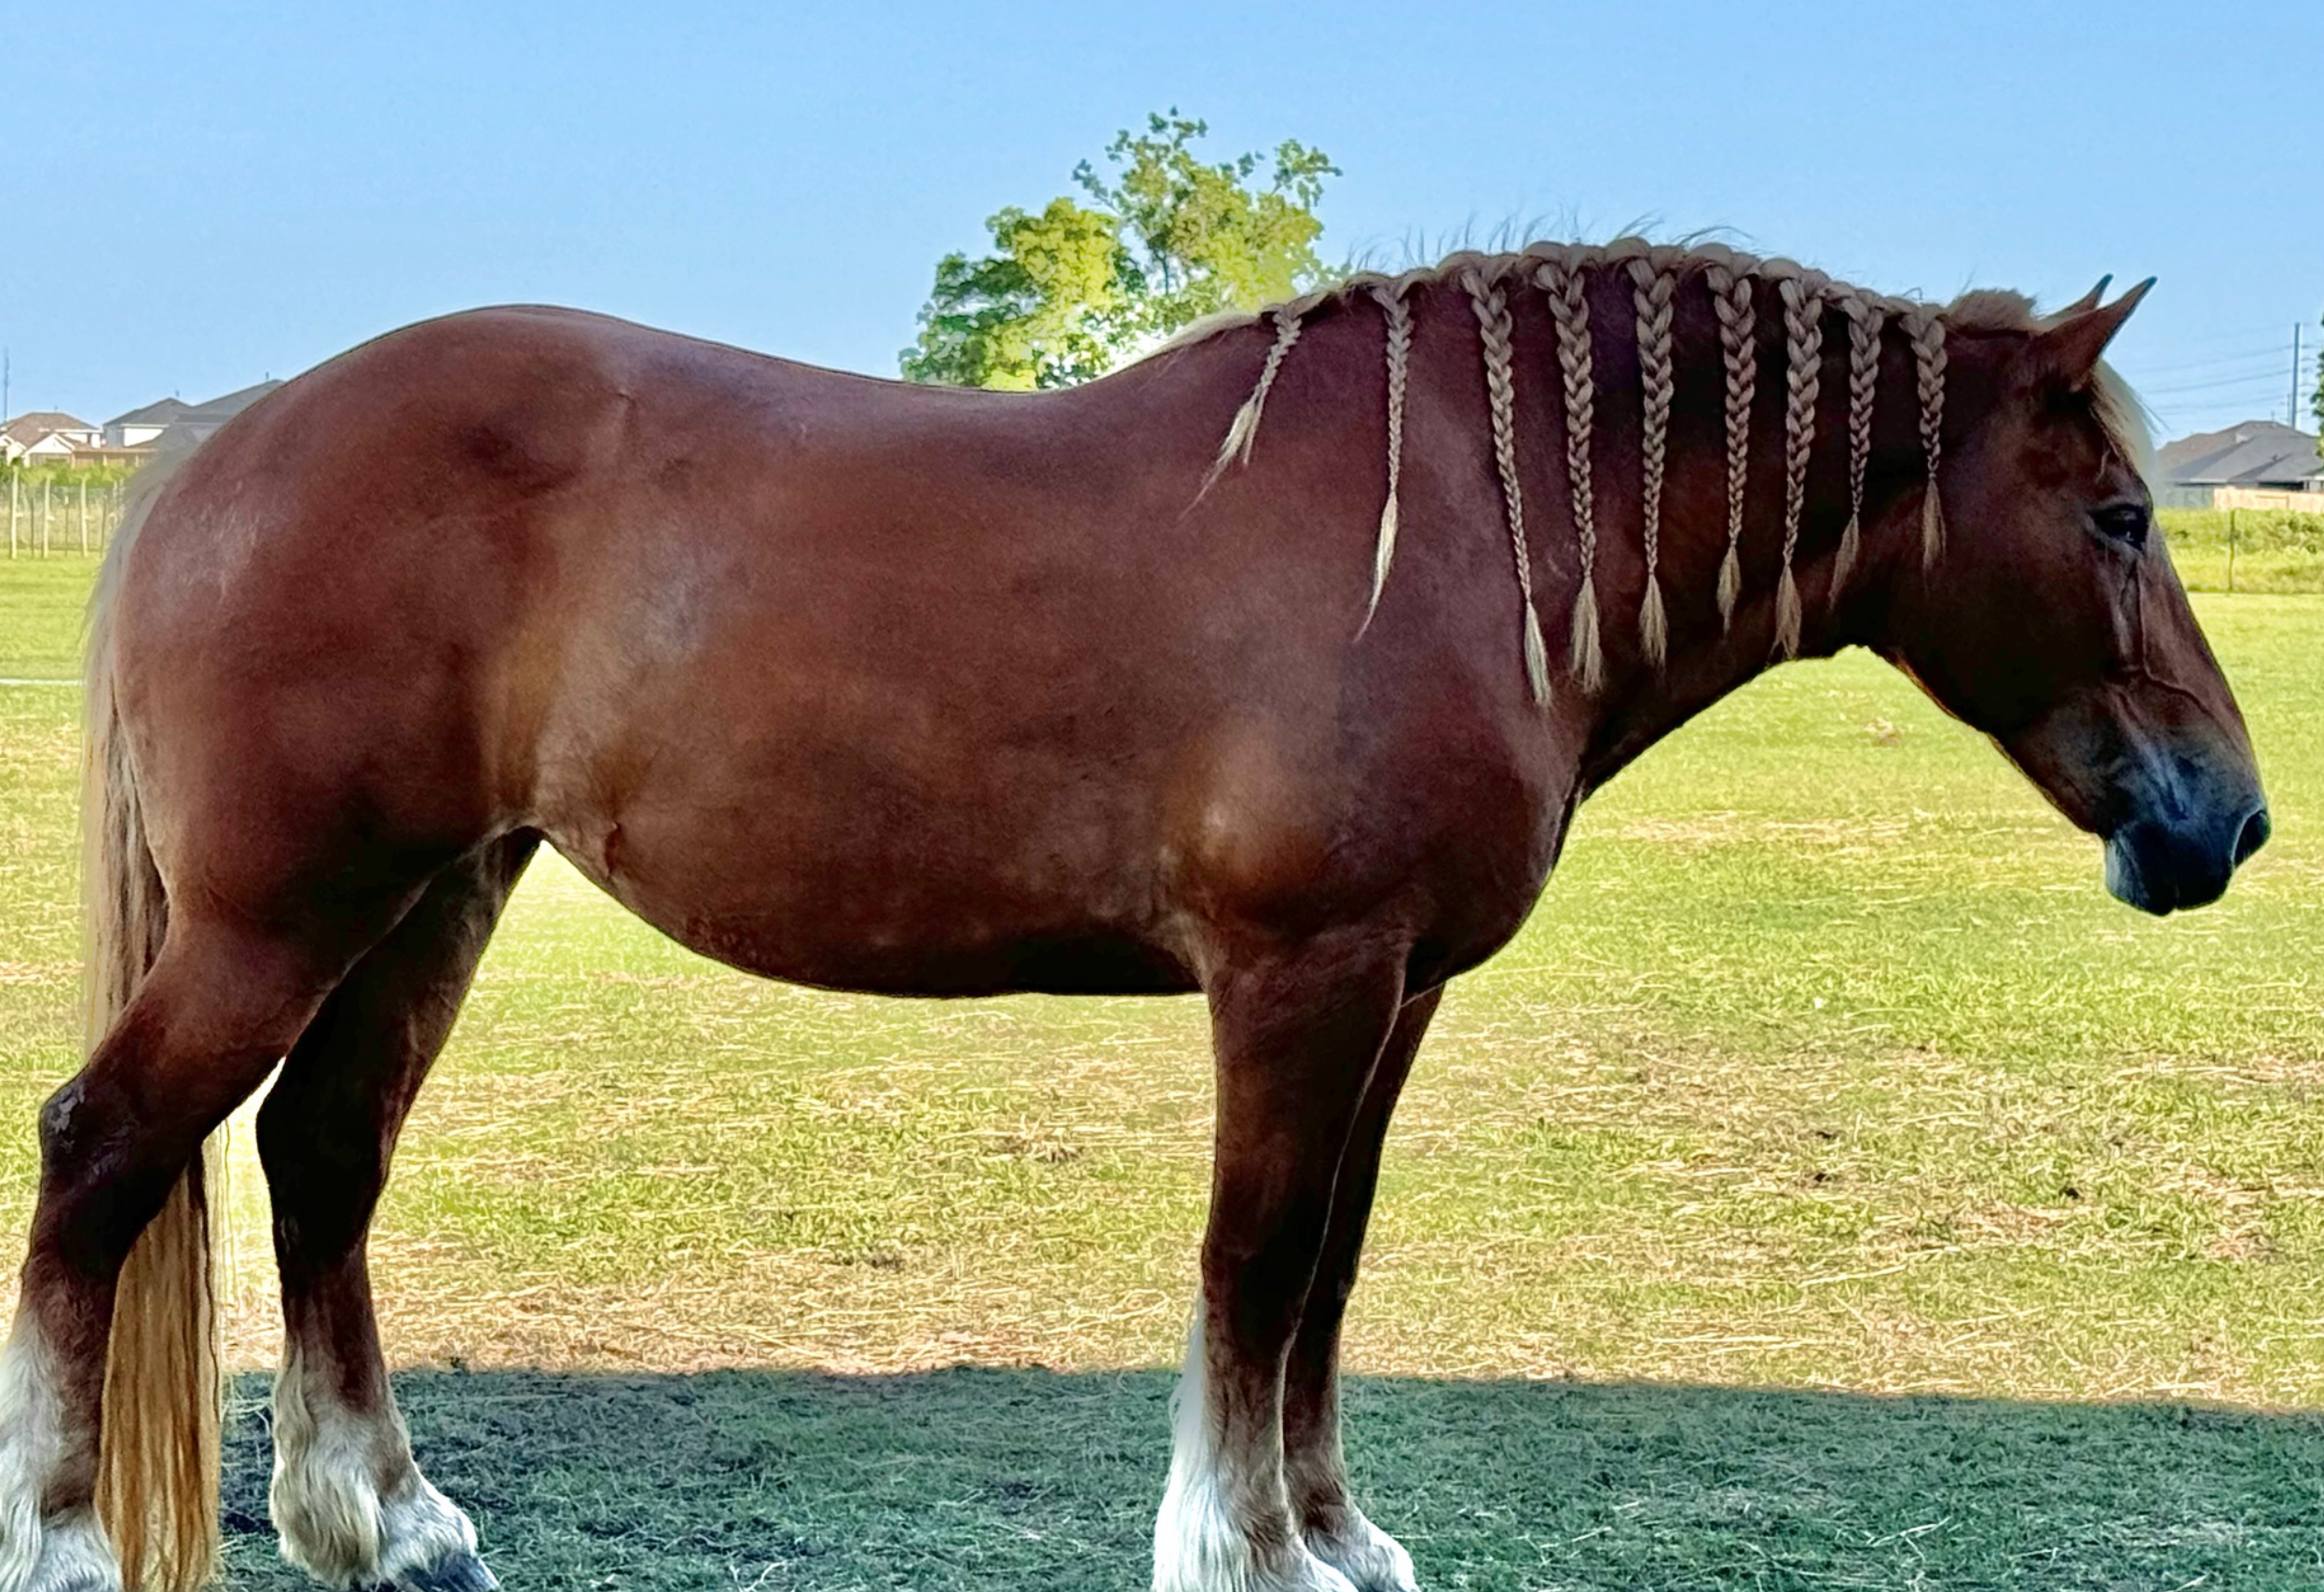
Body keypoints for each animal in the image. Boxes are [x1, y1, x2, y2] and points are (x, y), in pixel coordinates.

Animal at [0, 236, 2267, 1592]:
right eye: (2111, 516)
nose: (2225, 820)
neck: (1452, 525)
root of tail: (235, 437)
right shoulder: (1299, 975)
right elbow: (1253, 1260)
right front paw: (1245, 1547)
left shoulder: (1392, 991)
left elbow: (1328, 1264)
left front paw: (1336, 1538)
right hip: (284, 917)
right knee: (103, 1153)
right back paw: (69, 1535)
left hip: (430, 895)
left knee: (321, 1158)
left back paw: (385, 1520)